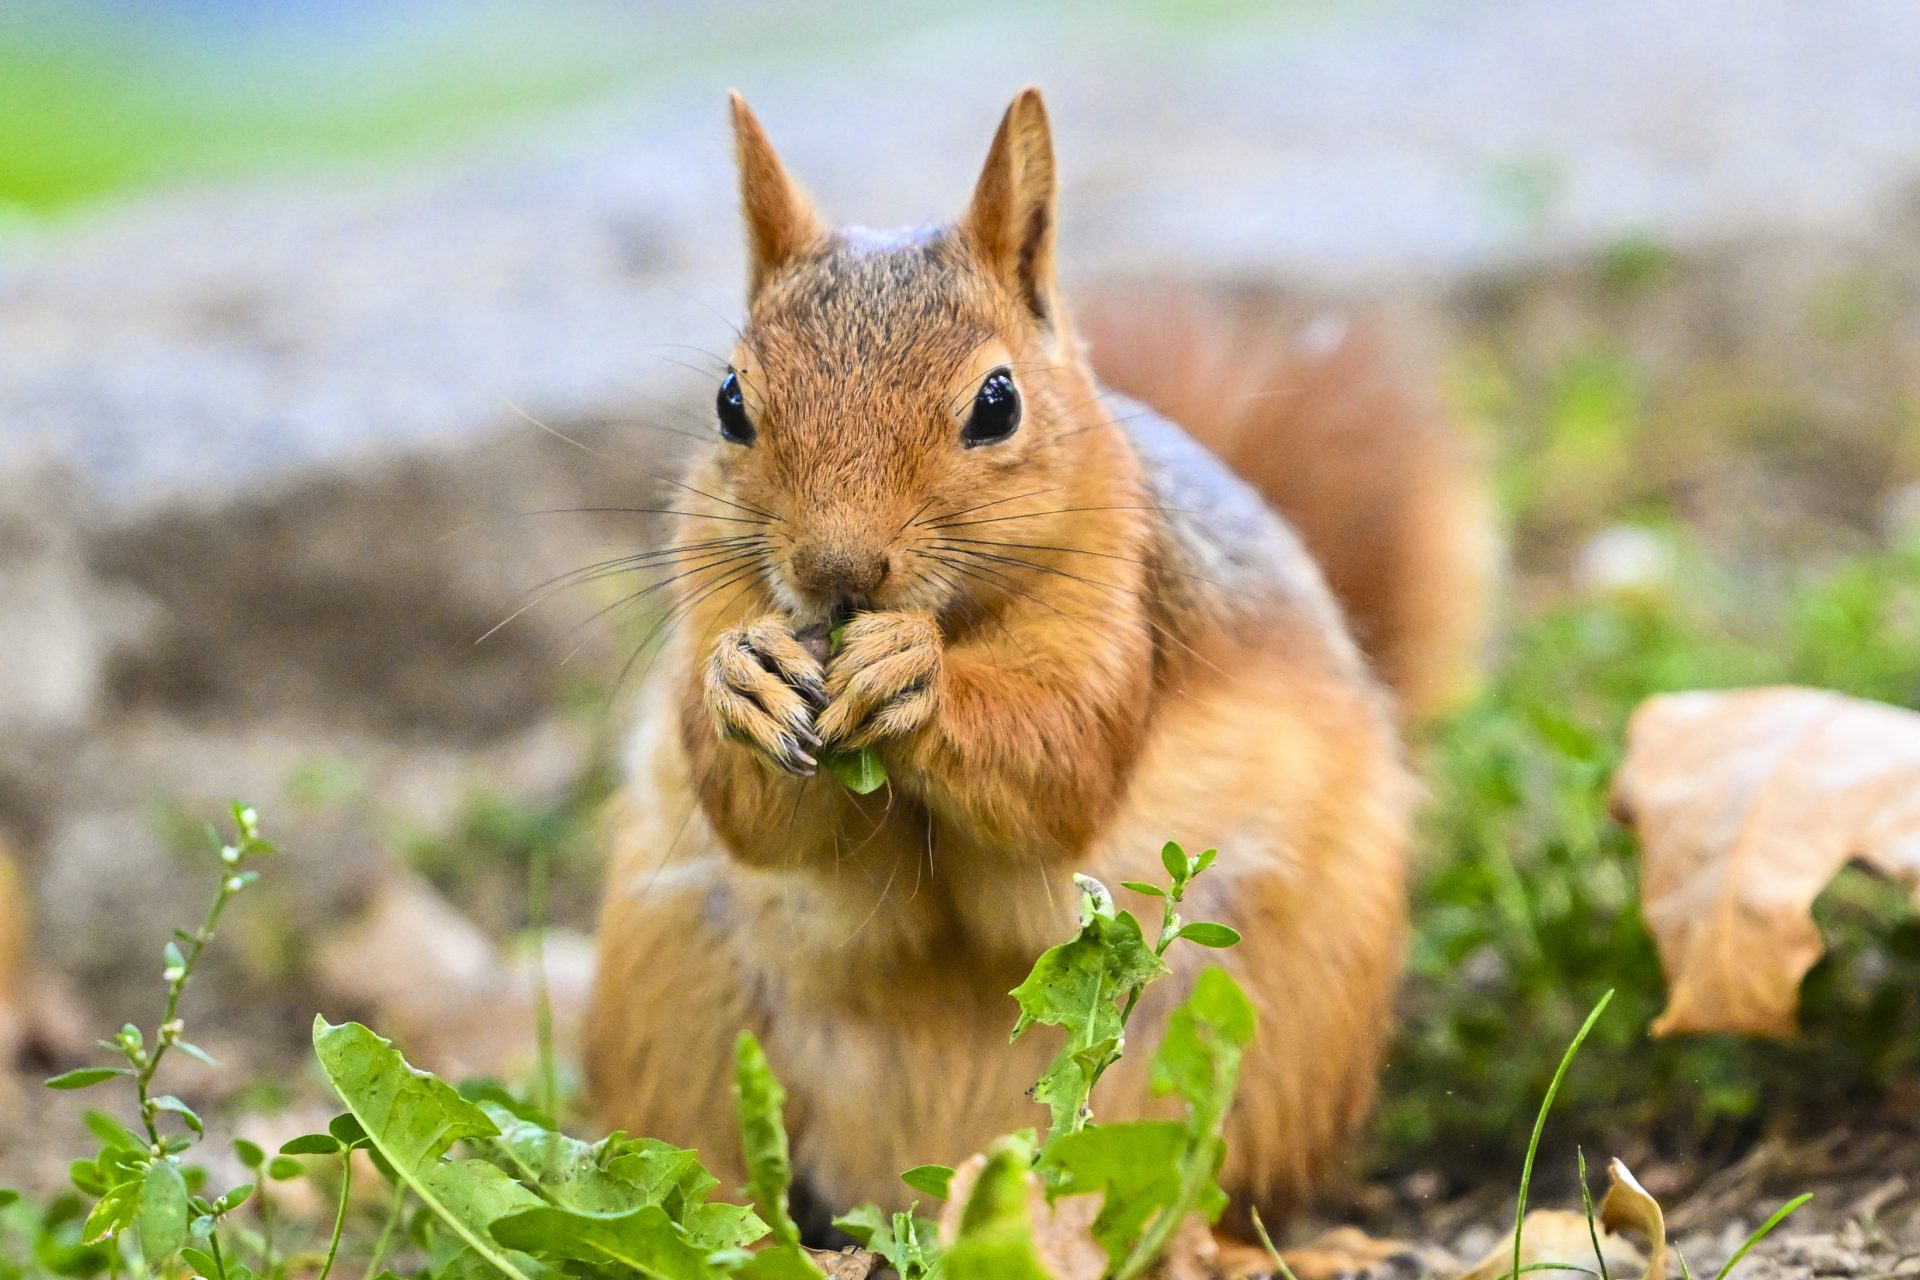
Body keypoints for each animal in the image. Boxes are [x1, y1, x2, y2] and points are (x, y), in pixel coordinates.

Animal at [585, 88, 1490, 1237]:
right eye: (730, 404)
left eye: (997, 403)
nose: (837, 572)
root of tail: (922, 1170)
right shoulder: (711, 592)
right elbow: (756, 818)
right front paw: (743, 680)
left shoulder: (1117, 611)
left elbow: (1064, 760)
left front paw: (914, 676)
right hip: (676, 1008)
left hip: (1271, 1018)